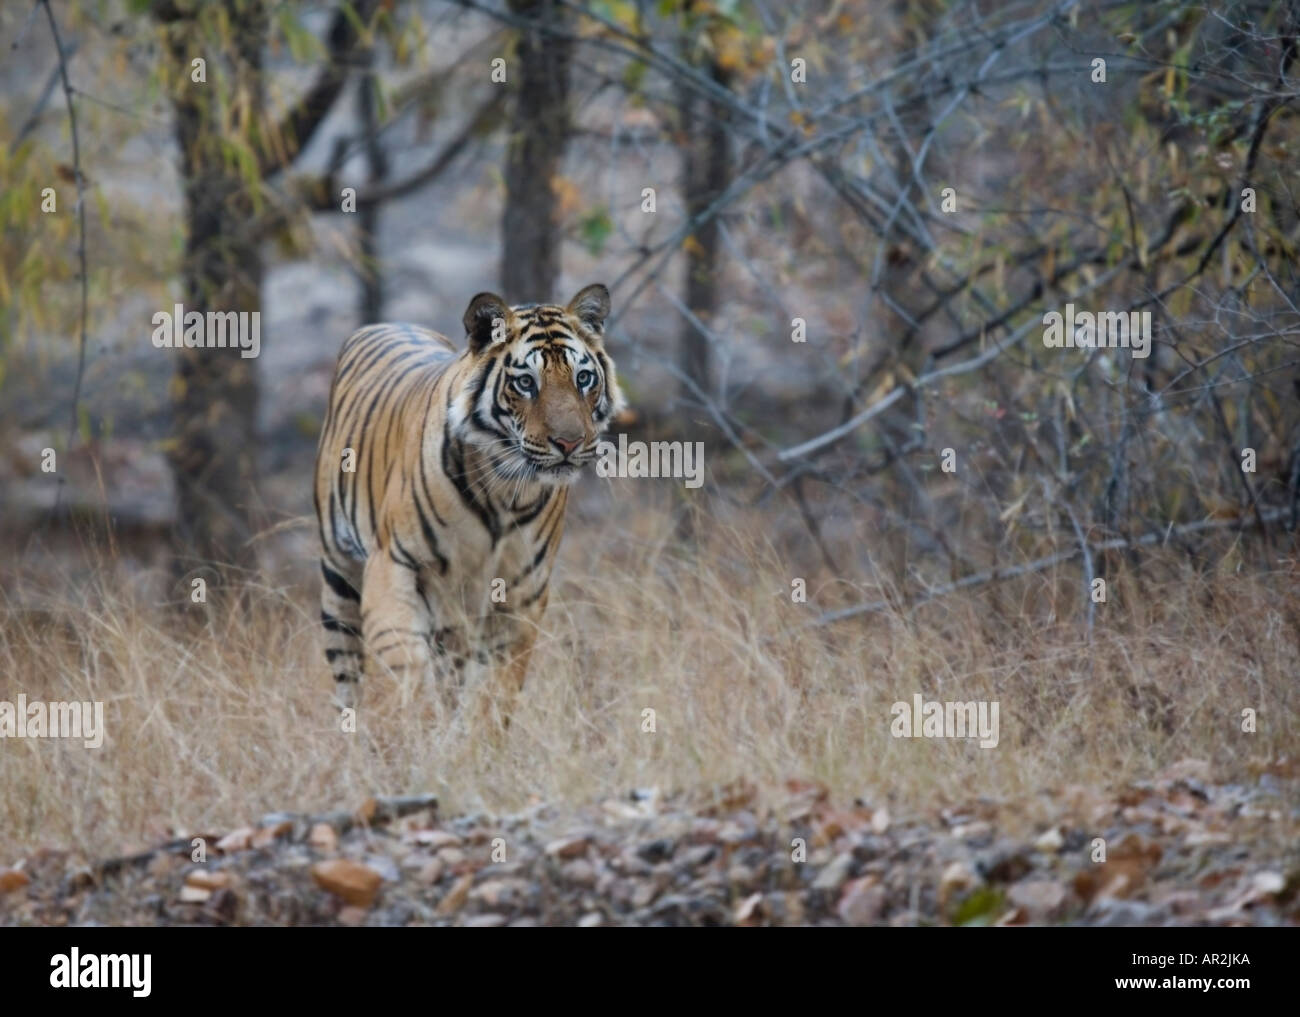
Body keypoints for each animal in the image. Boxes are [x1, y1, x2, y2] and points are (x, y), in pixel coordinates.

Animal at [313, 283, 623, 721]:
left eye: (583, 378)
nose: (569, 443)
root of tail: (385, 323)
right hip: (339, 576)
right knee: (348, 675)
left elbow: (496, 692)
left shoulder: (522, 592)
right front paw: (416, 720)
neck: (504, 491)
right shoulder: (393, 563)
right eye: (525, 382)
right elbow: (405, 657)